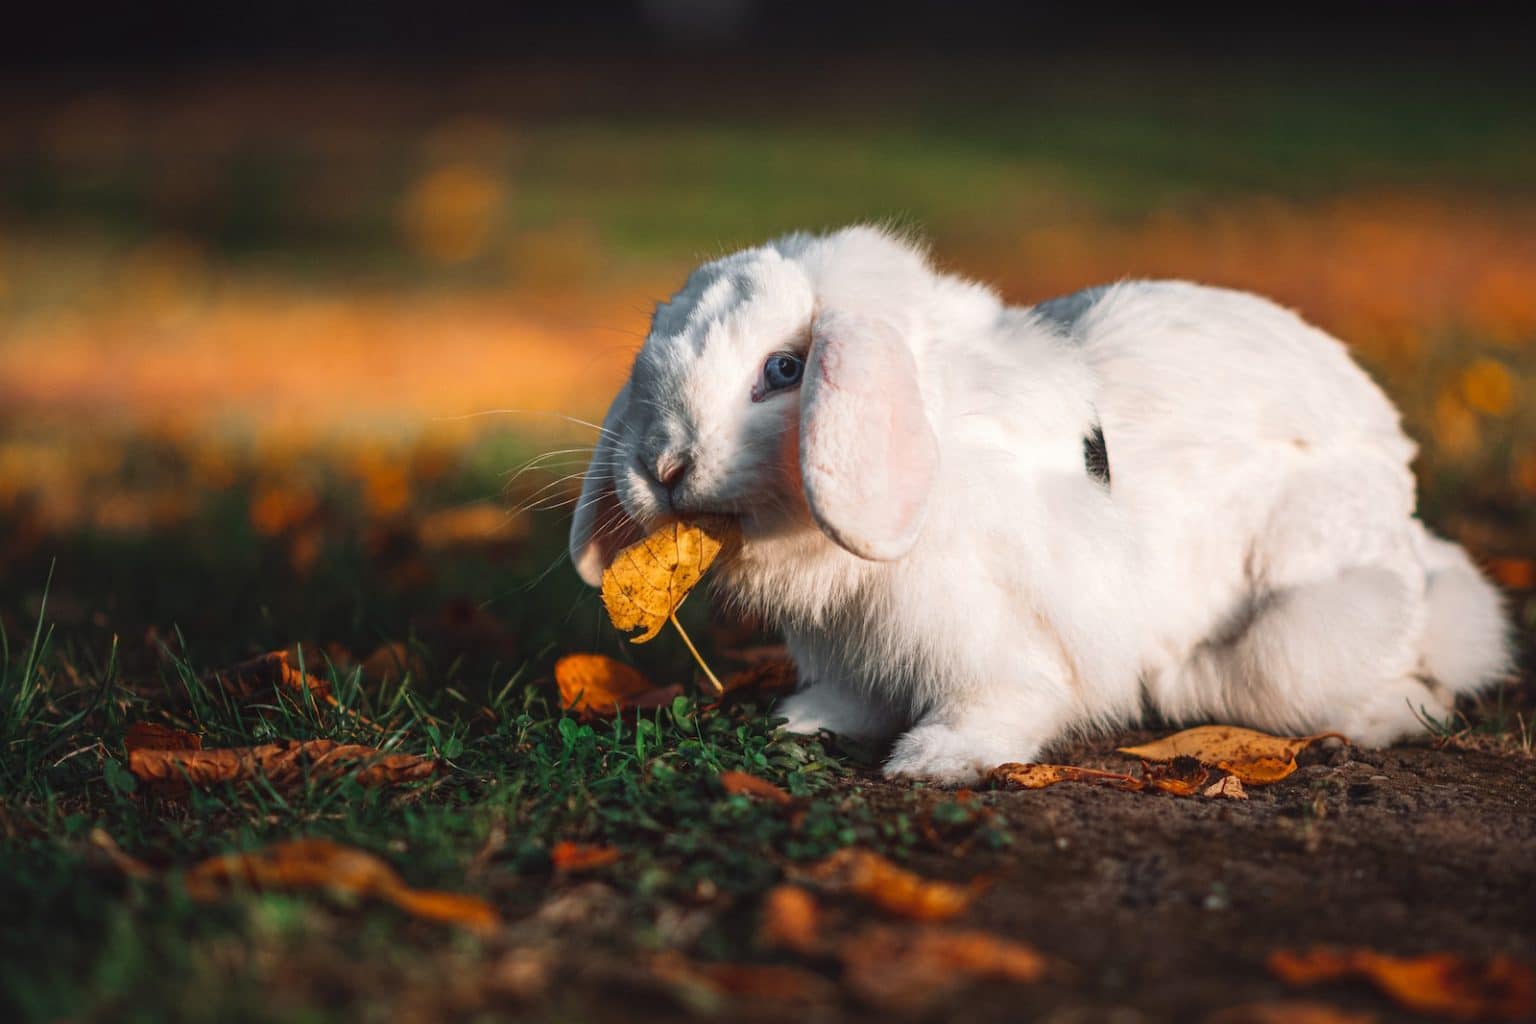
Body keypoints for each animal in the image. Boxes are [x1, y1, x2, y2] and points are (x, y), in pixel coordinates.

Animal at [569, 225, 1511, 783]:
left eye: (783, 370)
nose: (662, 465)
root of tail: (1404, 521)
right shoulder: (848, 640)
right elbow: (852, 692)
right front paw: (808, 724)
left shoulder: (992, 628)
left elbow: (999, 700)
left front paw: (937, 760)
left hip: (1305, 629)